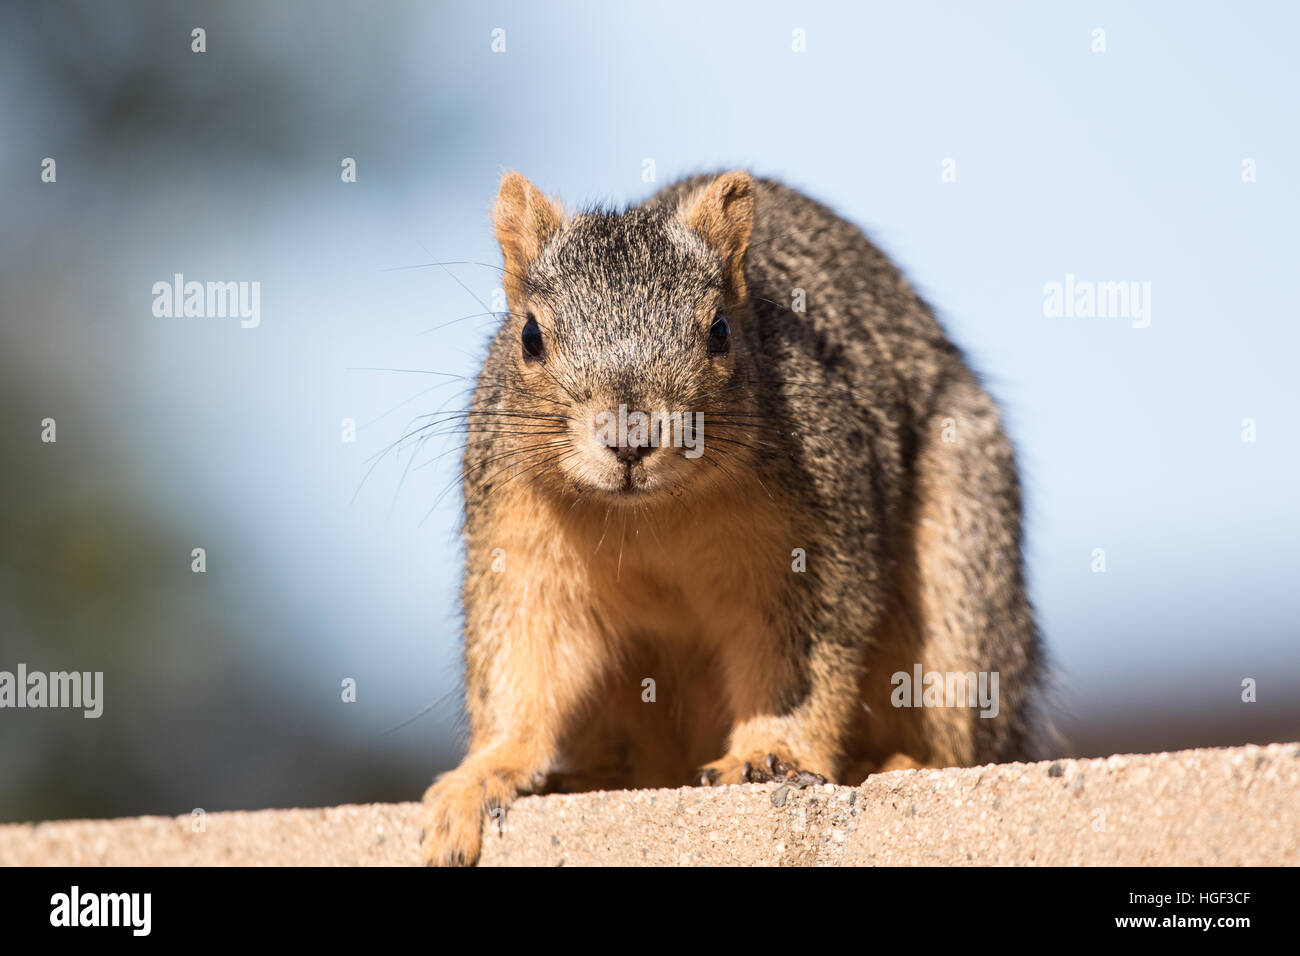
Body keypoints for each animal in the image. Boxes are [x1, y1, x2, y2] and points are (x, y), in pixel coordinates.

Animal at [418, 170, 1046, 865]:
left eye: (719, 330)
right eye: (529, 337)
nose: (629, 437)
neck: (650, 513)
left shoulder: (814, 542)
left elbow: (797, 664)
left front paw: (769, 753)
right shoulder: (520, 543)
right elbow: (522, 662)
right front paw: (480, 778)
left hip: (962, 581)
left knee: (964, 729)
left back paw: (906, 763)